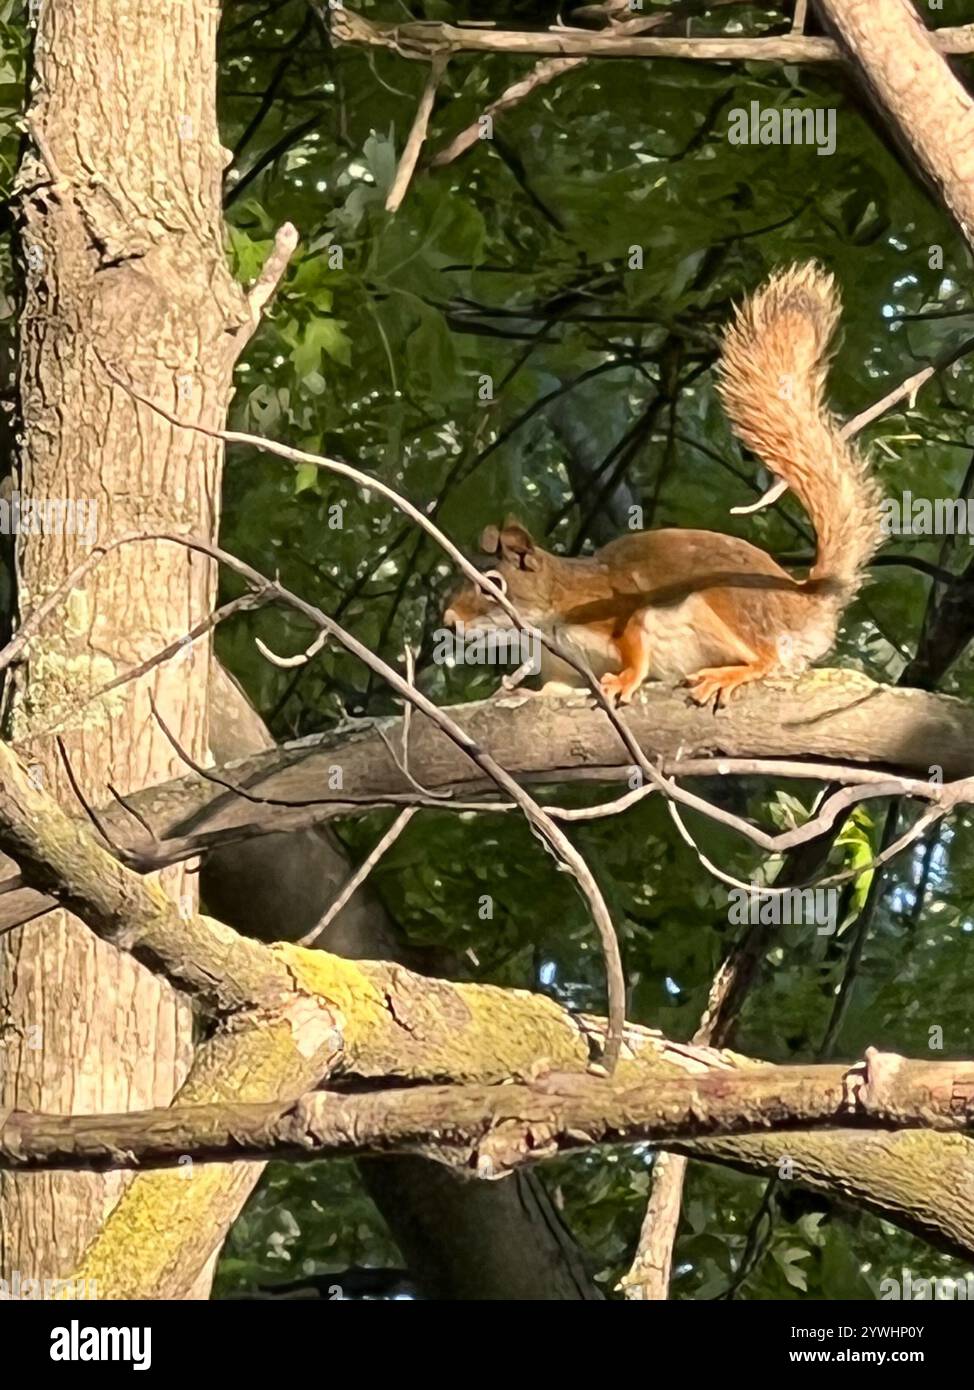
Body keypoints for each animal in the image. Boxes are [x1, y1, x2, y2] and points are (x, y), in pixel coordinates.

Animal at [443, 263, 883, 707]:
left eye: (492, 586)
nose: (448, 622)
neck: (551, 613)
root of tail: (803, 605)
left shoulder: (616, 608)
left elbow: (635, 643)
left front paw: (625, 678)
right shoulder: (566, 672)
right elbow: (554, 690)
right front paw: (524, 693)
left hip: (717, 605)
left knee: (767, 658)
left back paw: (731, 673)